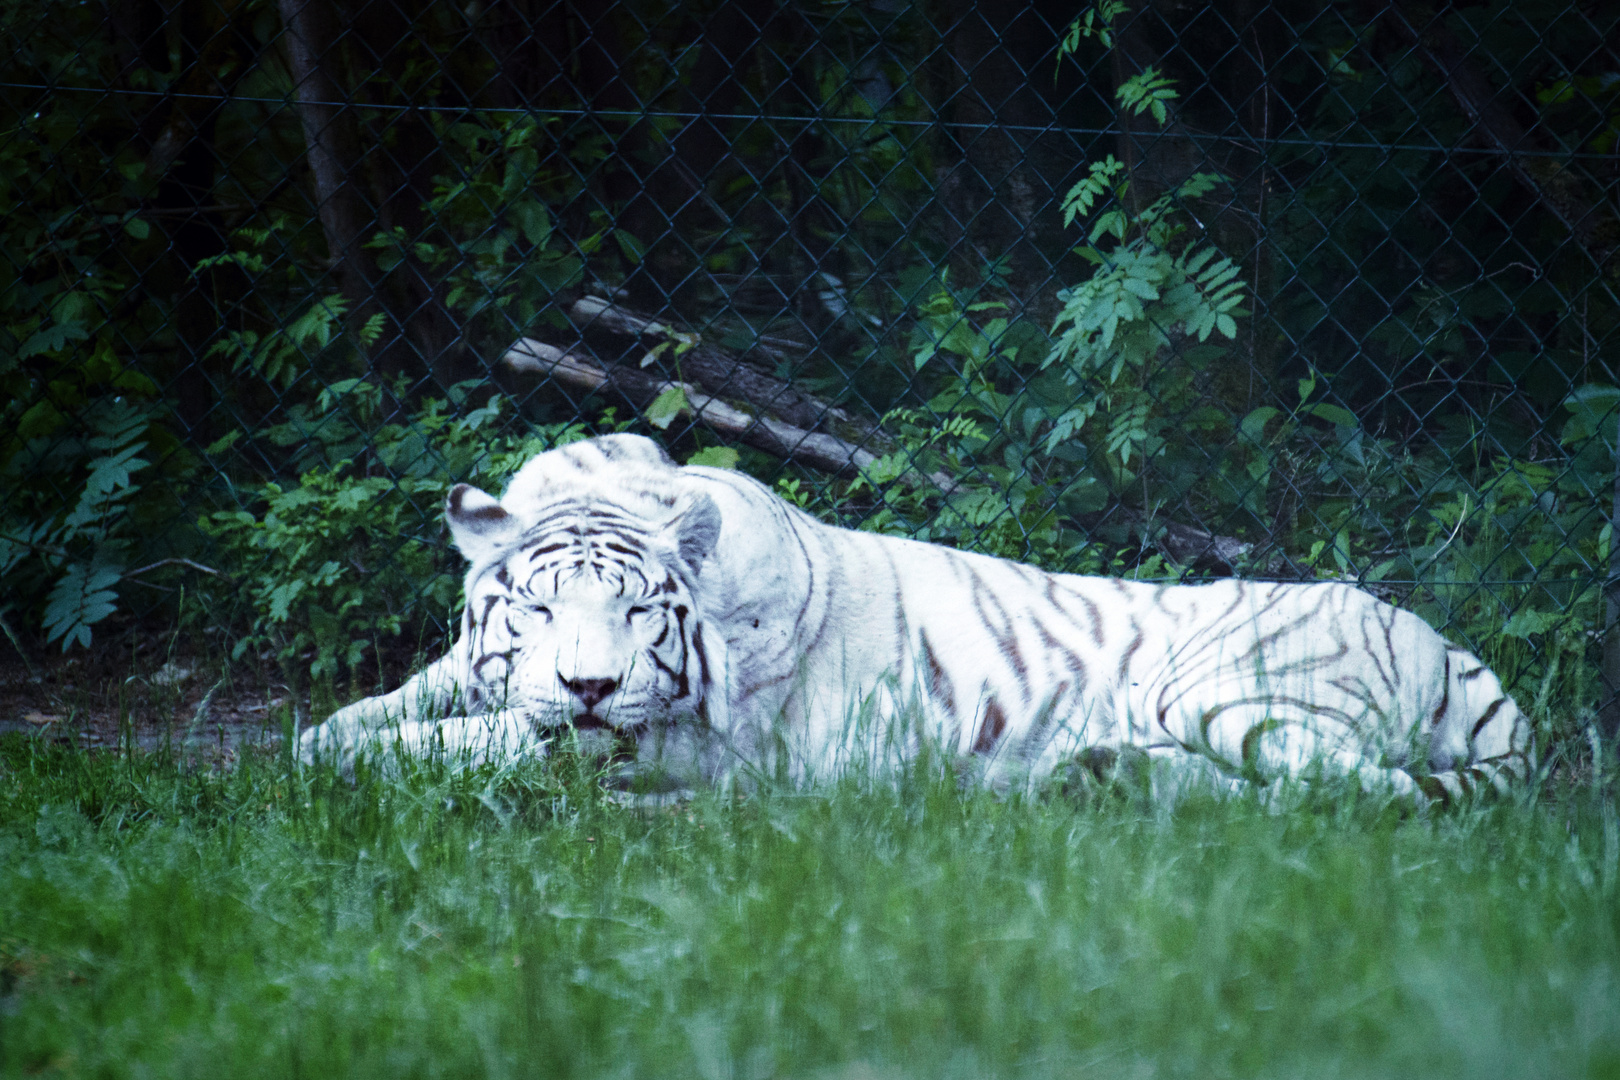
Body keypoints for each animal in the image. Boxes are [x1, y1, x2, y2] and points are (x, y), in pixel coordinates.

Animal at [297, 433, 1532, 802]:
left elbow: (488, 739)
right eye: (539, 608)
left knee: (1360, 793)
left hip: (1229, 687)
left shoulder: (675, 744)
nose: (590, 684)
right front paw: (332, 735)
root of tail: (1450, 644)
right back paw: (1099, 776)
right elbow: (394, 705)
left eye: (639, 613)